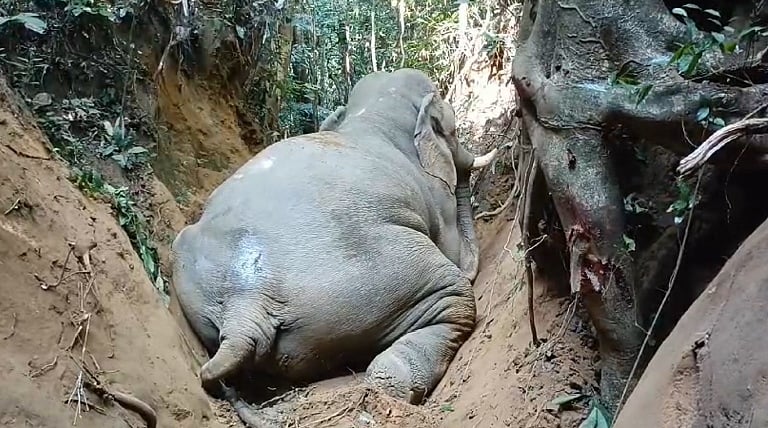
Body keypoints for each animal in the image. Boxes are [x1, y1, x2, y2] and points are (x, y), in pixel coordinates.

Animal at [170, 68, 499, 423]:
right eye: (451, 128)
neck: (371, 114)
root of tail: (244, 306)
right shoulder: (435, 195)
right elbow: (450, 243)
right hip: (378, 278)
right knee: (456, 300)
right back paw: (395, 381)